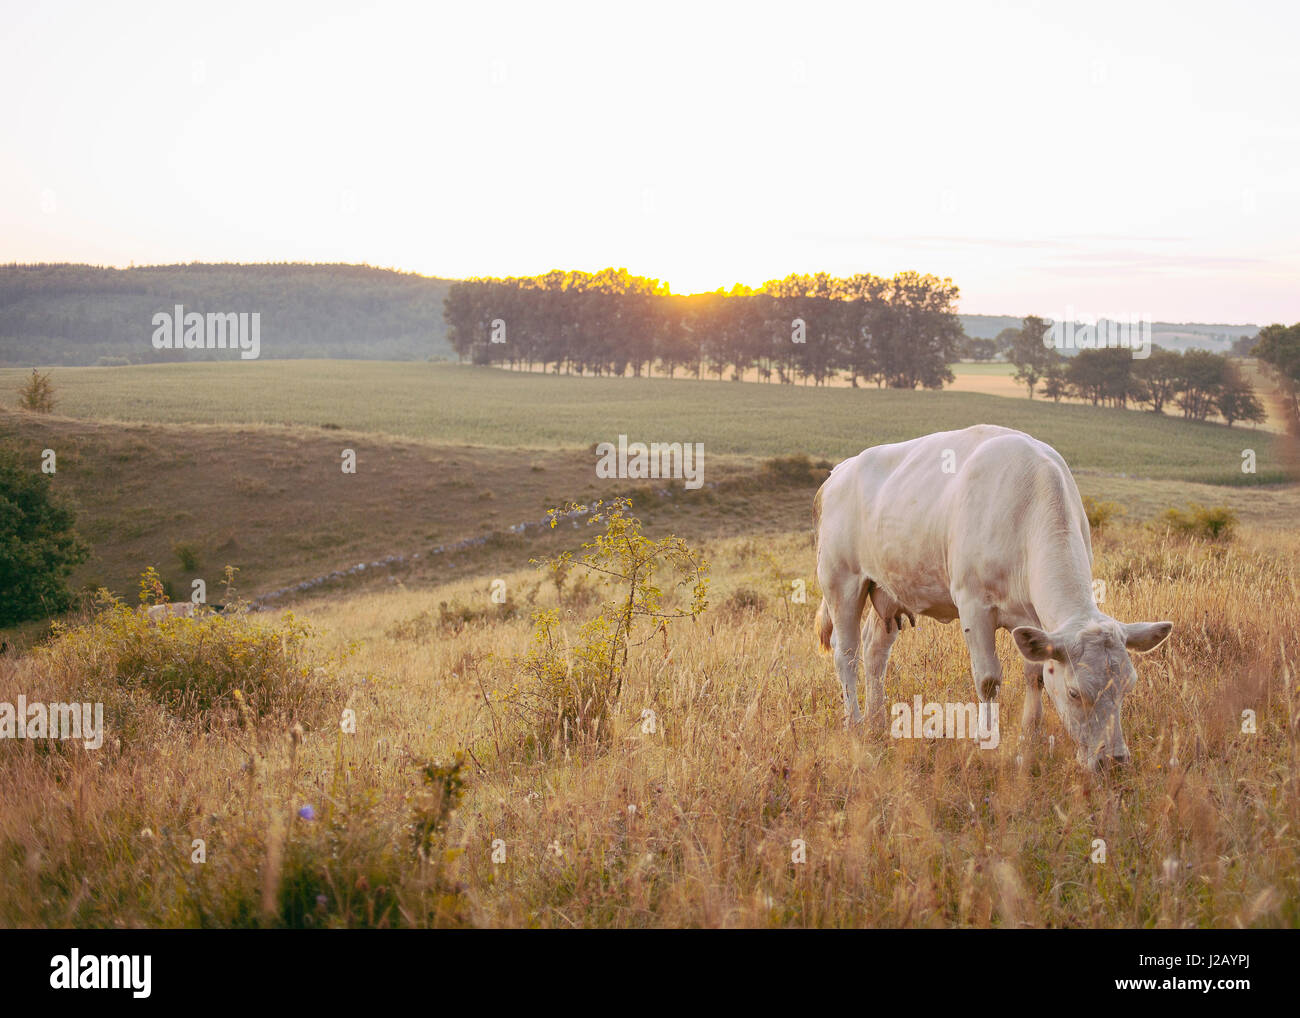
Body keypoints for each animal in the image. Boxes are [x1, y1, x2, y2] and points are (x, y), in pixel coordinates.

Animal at [813, 424, 1172, 769]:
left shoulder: (1033, 622)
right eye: (1074, 692)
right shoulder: (974, 605)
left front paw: (1029, 739)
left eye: (1128, 686)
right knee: (846, 653)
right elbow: (987, 679)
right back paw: (855, 721)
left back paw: (876, 719)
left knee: (875, 651)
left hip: (886, 590)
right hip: (842, 581)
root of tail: (841, 470)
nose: (1113, 761)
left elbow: (1035, 676)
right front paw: (986, 739)